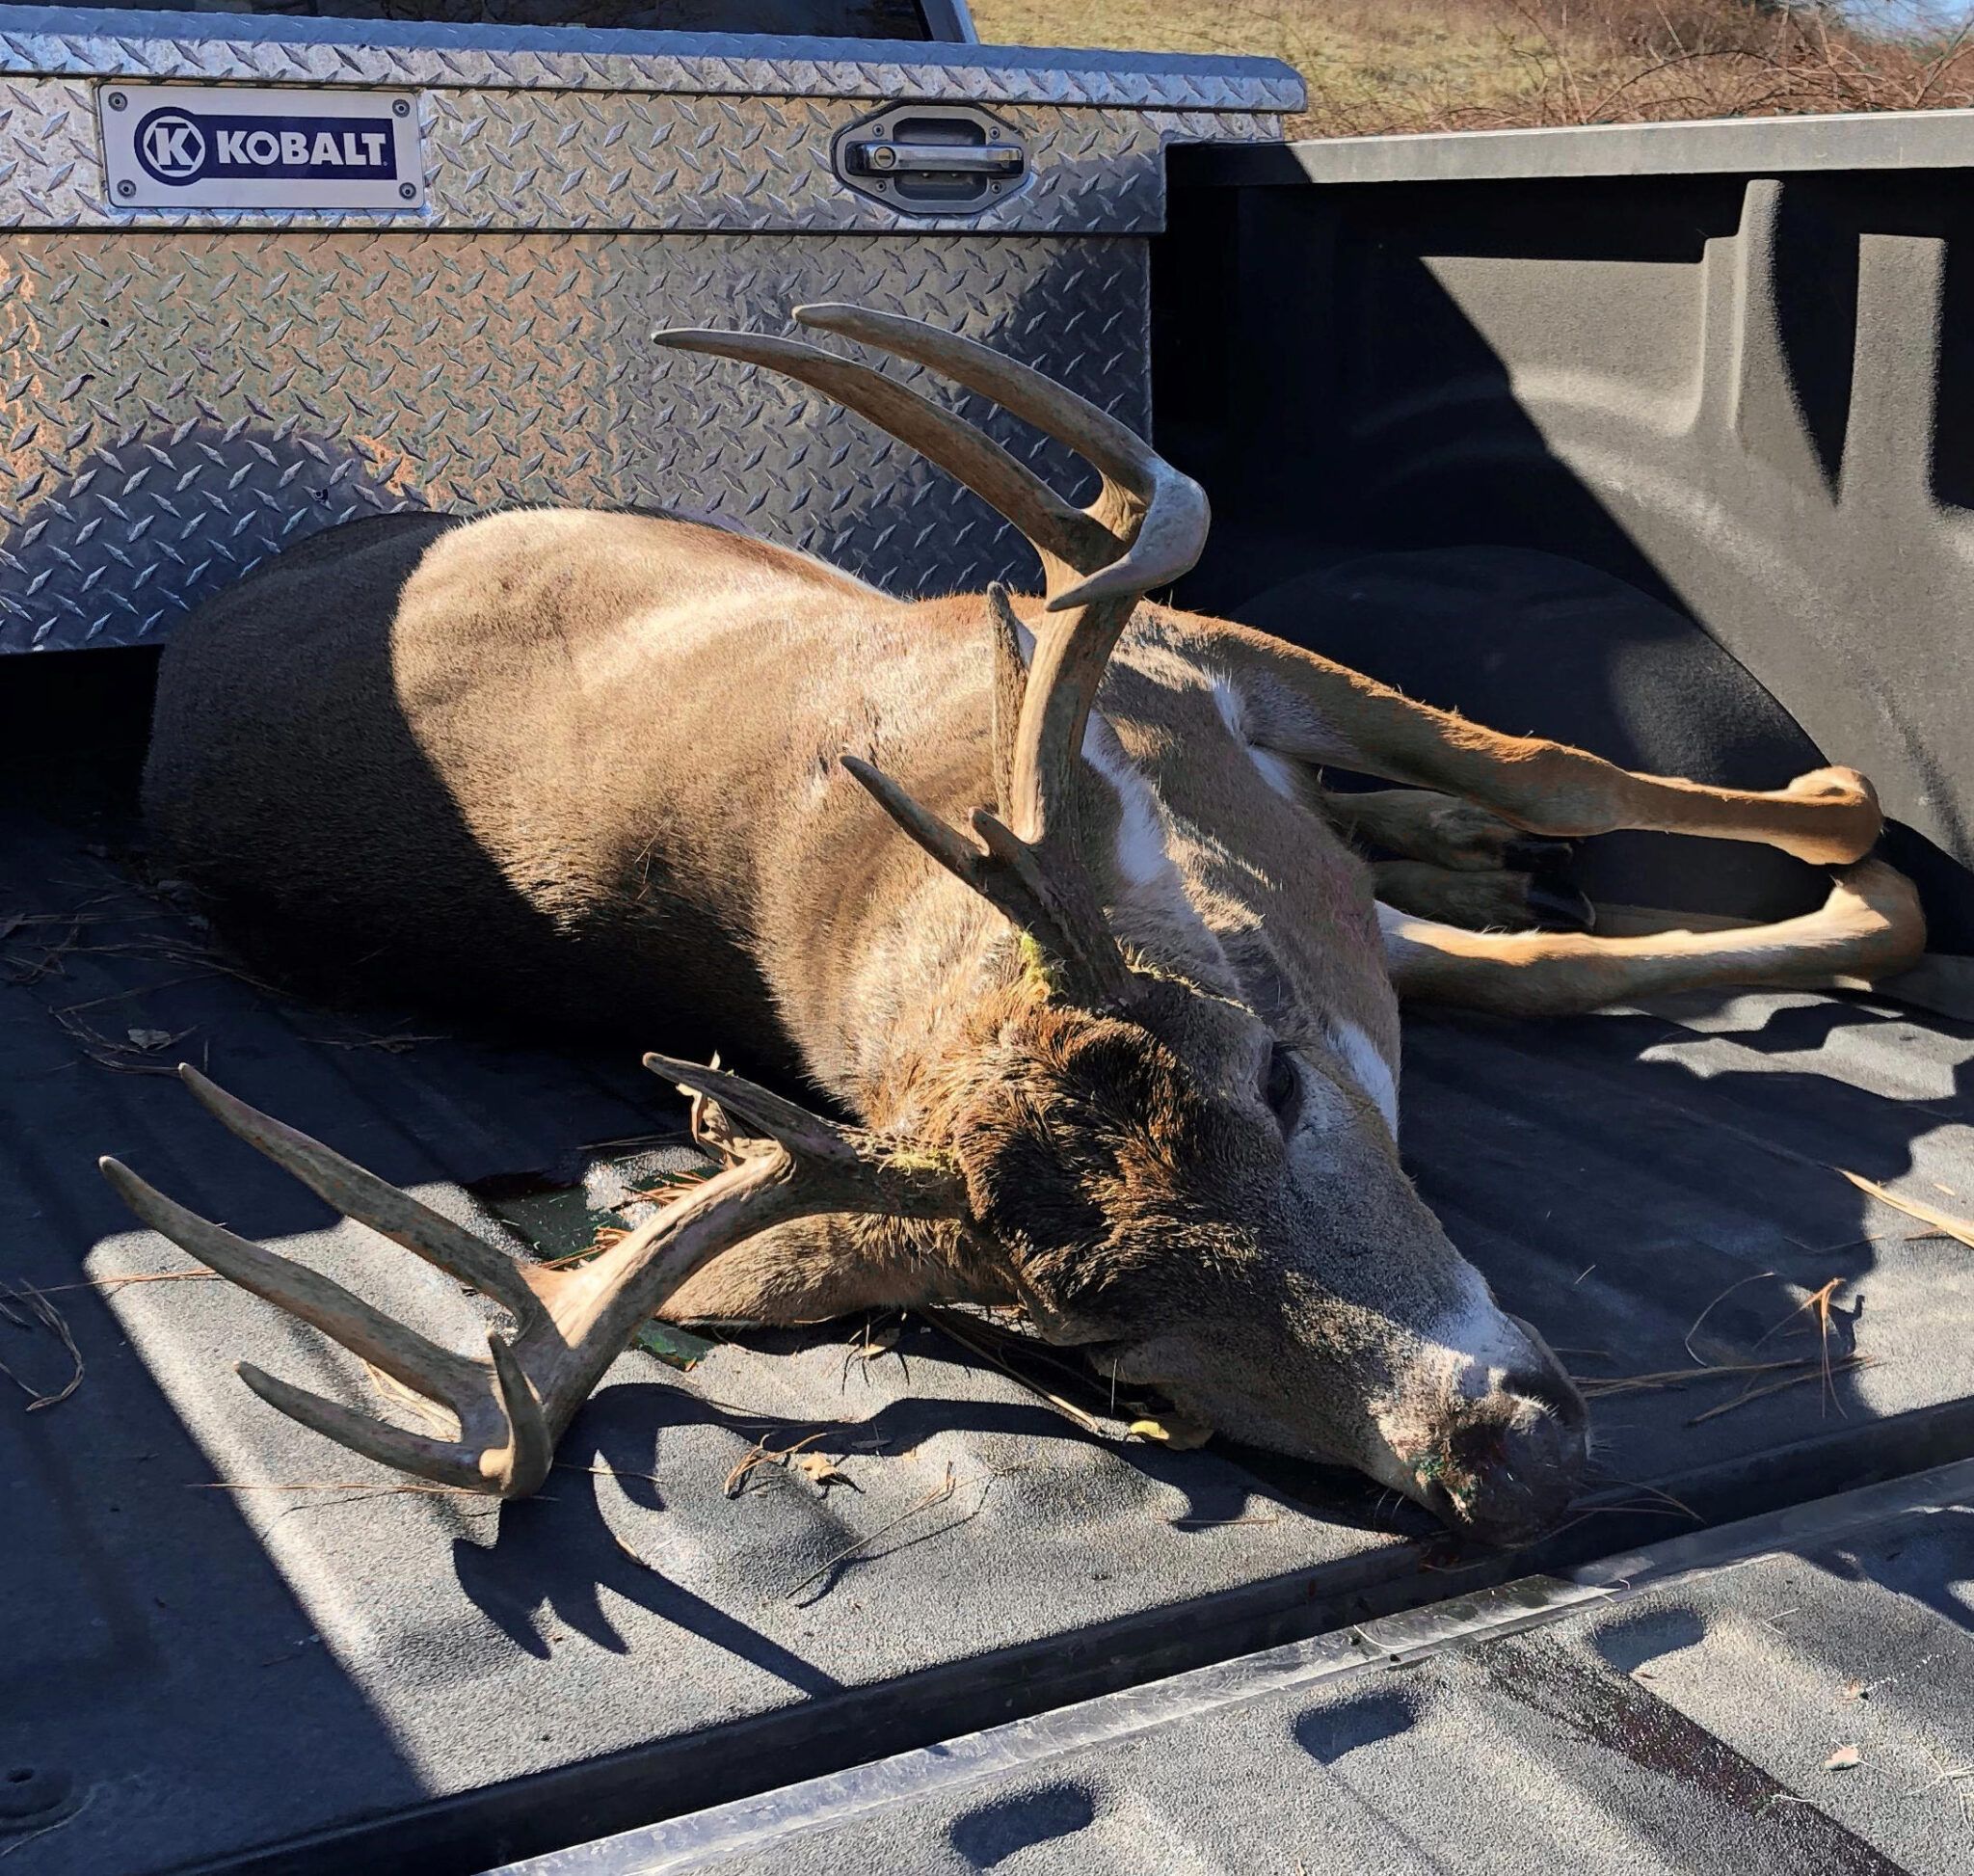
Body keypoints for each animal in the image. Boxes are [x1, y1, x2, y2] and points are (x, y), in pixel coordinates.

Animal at [101, 305, 1925, 1552]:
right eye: (1103, 1335)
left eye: (1276, 1084)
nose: (1505, 1455)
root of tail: (178, 661)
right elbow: (1549, 962)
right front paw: (1867, 879)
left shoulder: (1201, 649)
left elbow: (1549, 771)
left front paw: (1851, 815)